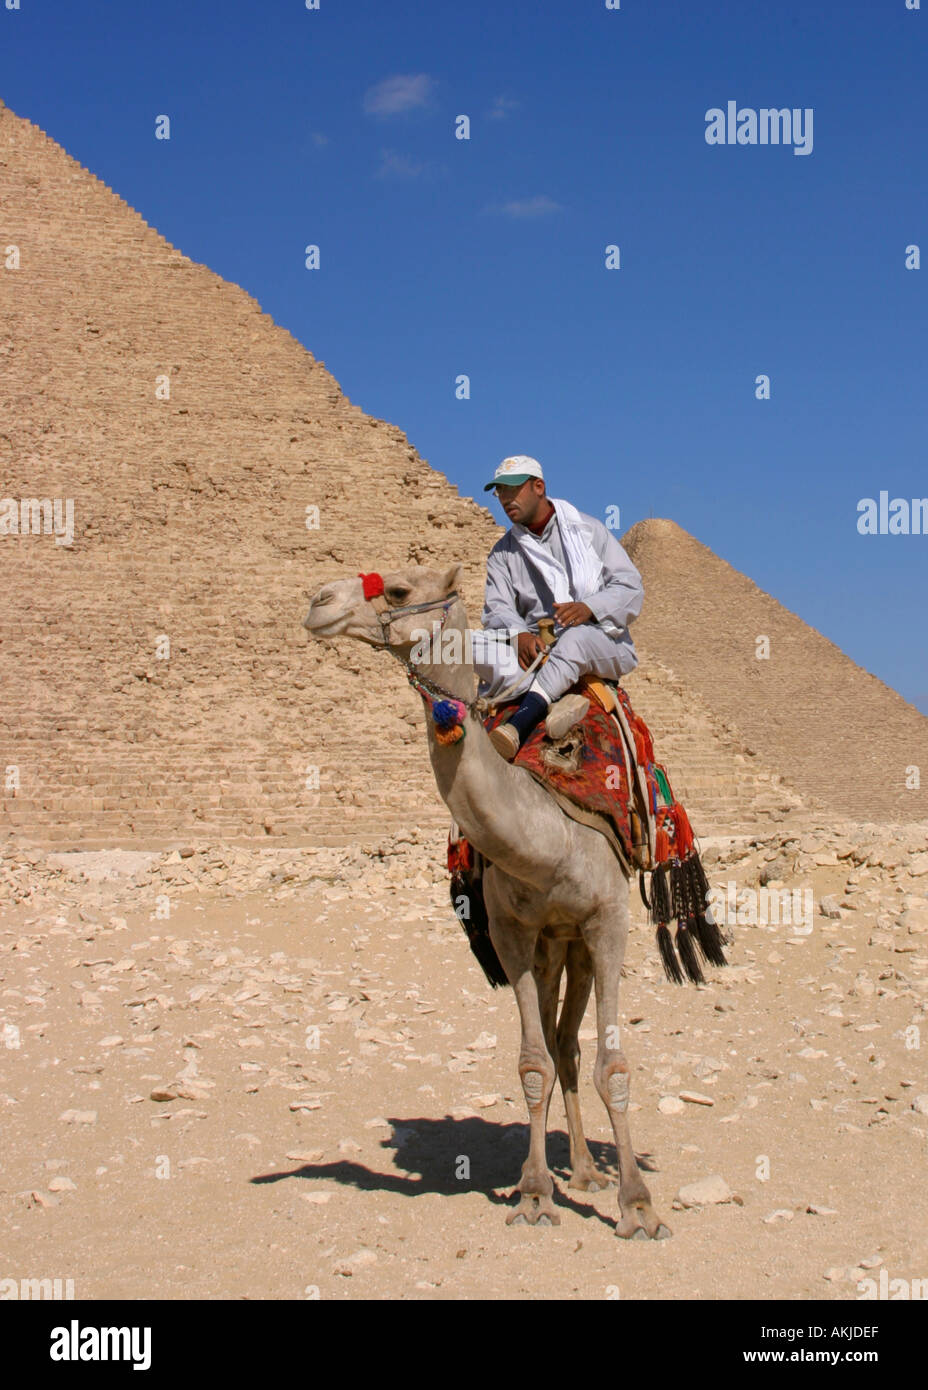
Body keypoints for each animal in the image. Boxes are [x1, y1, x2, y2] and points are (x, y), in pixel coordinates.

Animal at [303, 562, 672, 1238]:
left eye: (399, 589)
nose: (318, 602)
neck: (547, 833)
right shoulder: (511, 932)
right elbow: (532, 1065)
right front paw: (534, 1194)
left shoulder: (608, 923)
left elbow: (615, 1067)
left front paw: (638, 1206)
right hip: (553, 945)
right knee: (560, 1045)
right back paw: (579, 1170)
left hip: (579, 943)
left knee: (574, 1045)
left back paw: (596, 1172)